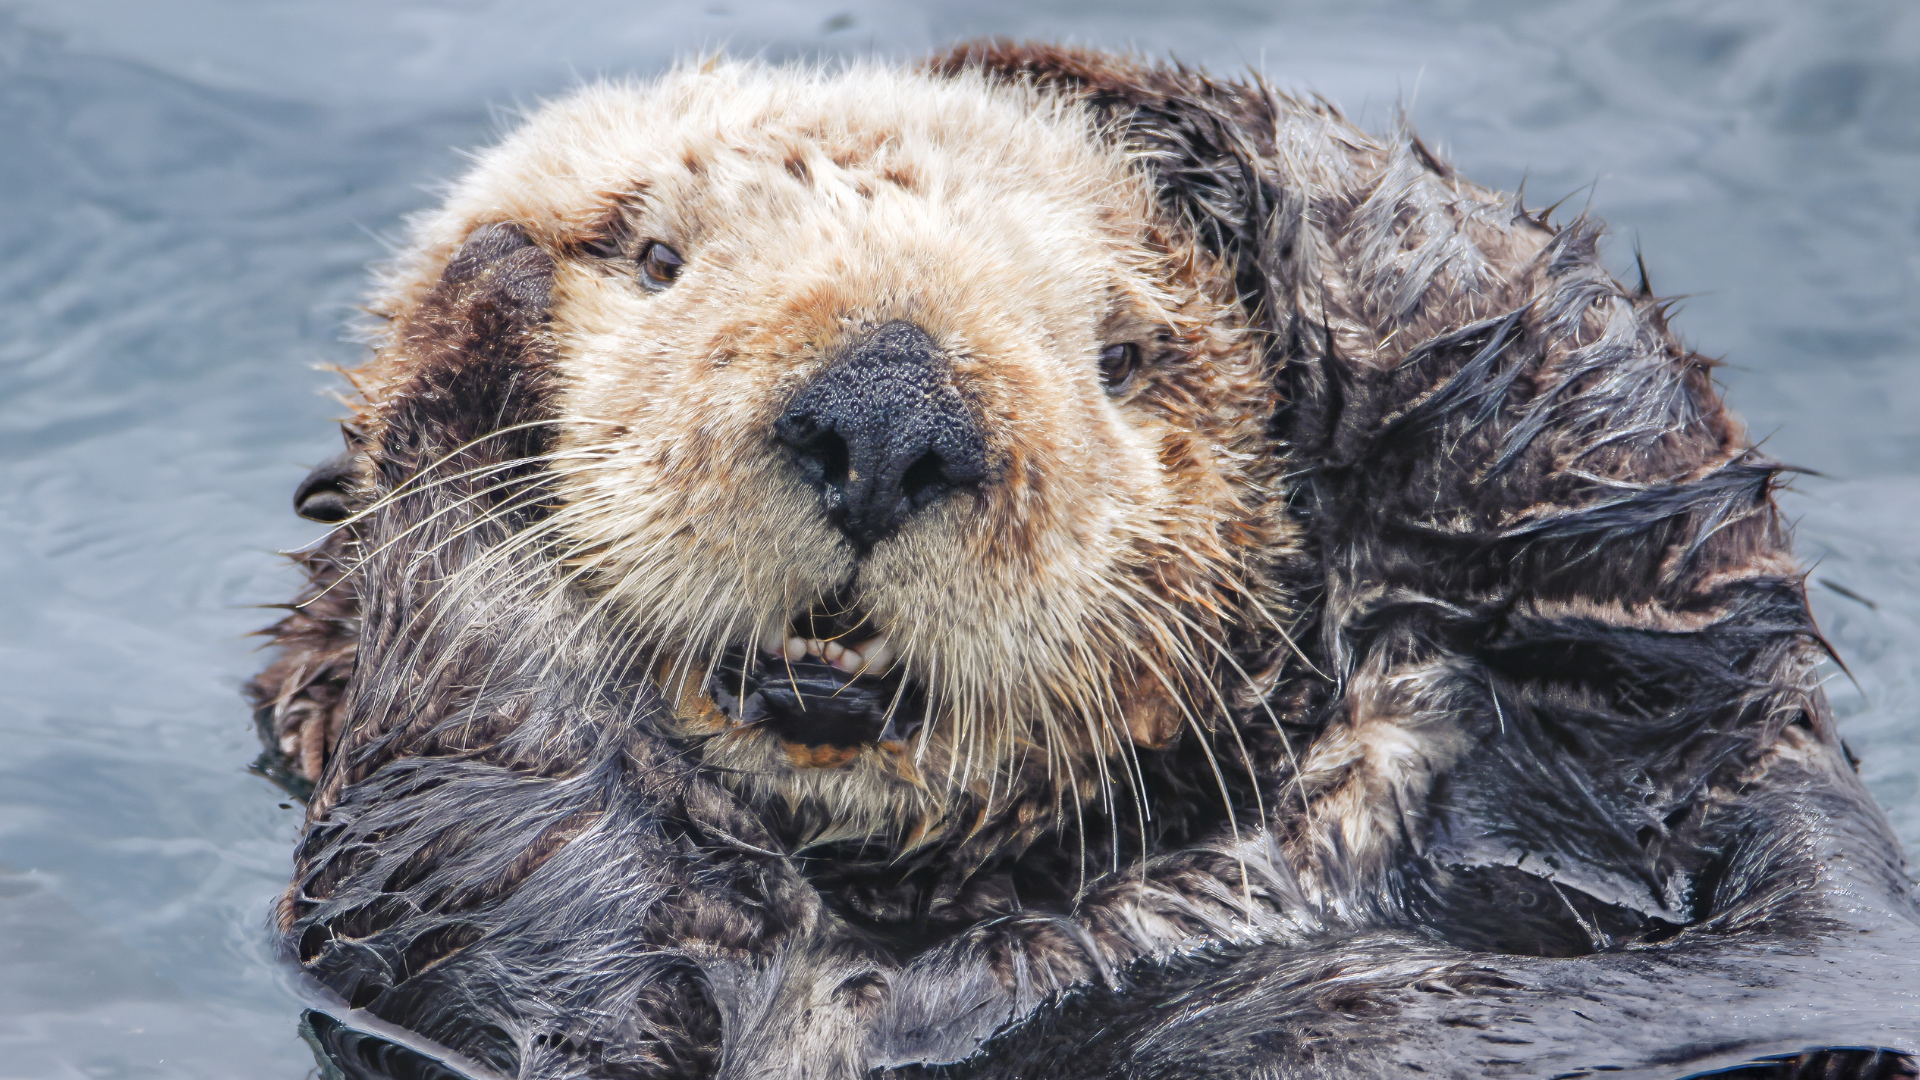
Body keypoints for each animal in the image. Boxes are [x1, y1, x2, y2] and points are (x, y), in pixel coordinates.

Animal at [250, 45, 1919, 1080]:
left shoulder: (1617, 728)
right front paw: (471, 335)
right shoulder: (579, 977)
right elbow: (508, 795)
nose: (888, 410)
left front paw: (1110, 99)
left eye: (1124, 355)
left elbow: (1626, 490)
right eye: (652, 258)